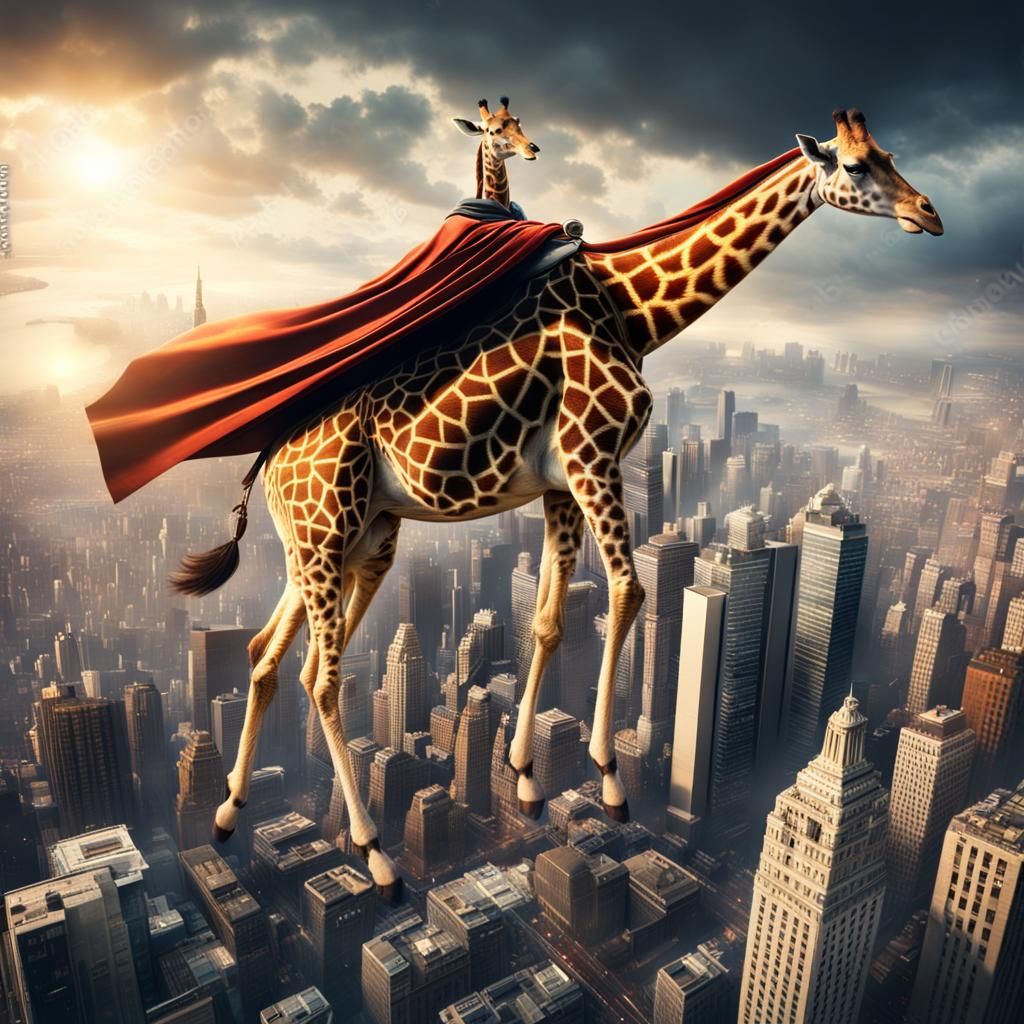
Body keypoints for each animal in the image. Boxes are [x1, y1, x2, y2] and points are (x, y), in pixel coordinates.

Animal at [190, 108, 941, 901]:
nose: (929, 213)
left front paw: (525, 776)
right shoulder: (592, 458)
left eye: (887, 152)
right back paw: (374, 853)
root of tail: (266, 463)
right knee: (321, 677)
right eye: (855, 165)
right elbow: (629, 590)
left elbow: (550, 621)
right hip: (328, 531)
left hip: (352, 540)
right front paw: (609, 781)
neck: (630, 310)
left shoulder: (560, 483)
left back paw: (229, 812)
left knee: (264, 654)